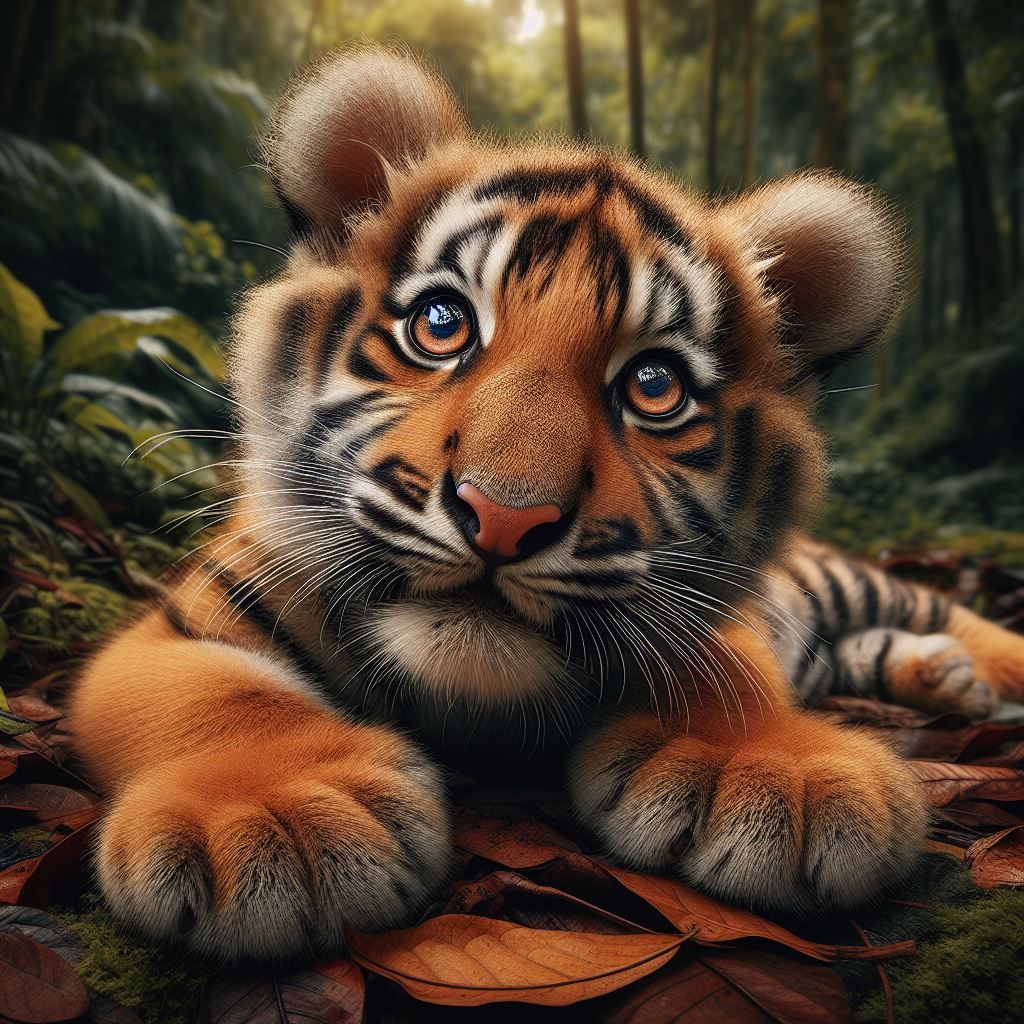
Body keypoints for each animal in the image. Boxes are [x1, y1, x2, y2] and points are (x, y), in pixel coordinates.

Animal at [69, 45, 1024, 962]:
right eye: (442, 324)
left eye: (653, 385)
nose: (505, 517)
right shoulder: (179, 625)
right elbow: (220, 699)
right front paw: (276, 816)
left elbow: (729, 670)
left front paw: (776, 771)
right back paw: (945, 678)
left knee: (942, 609)